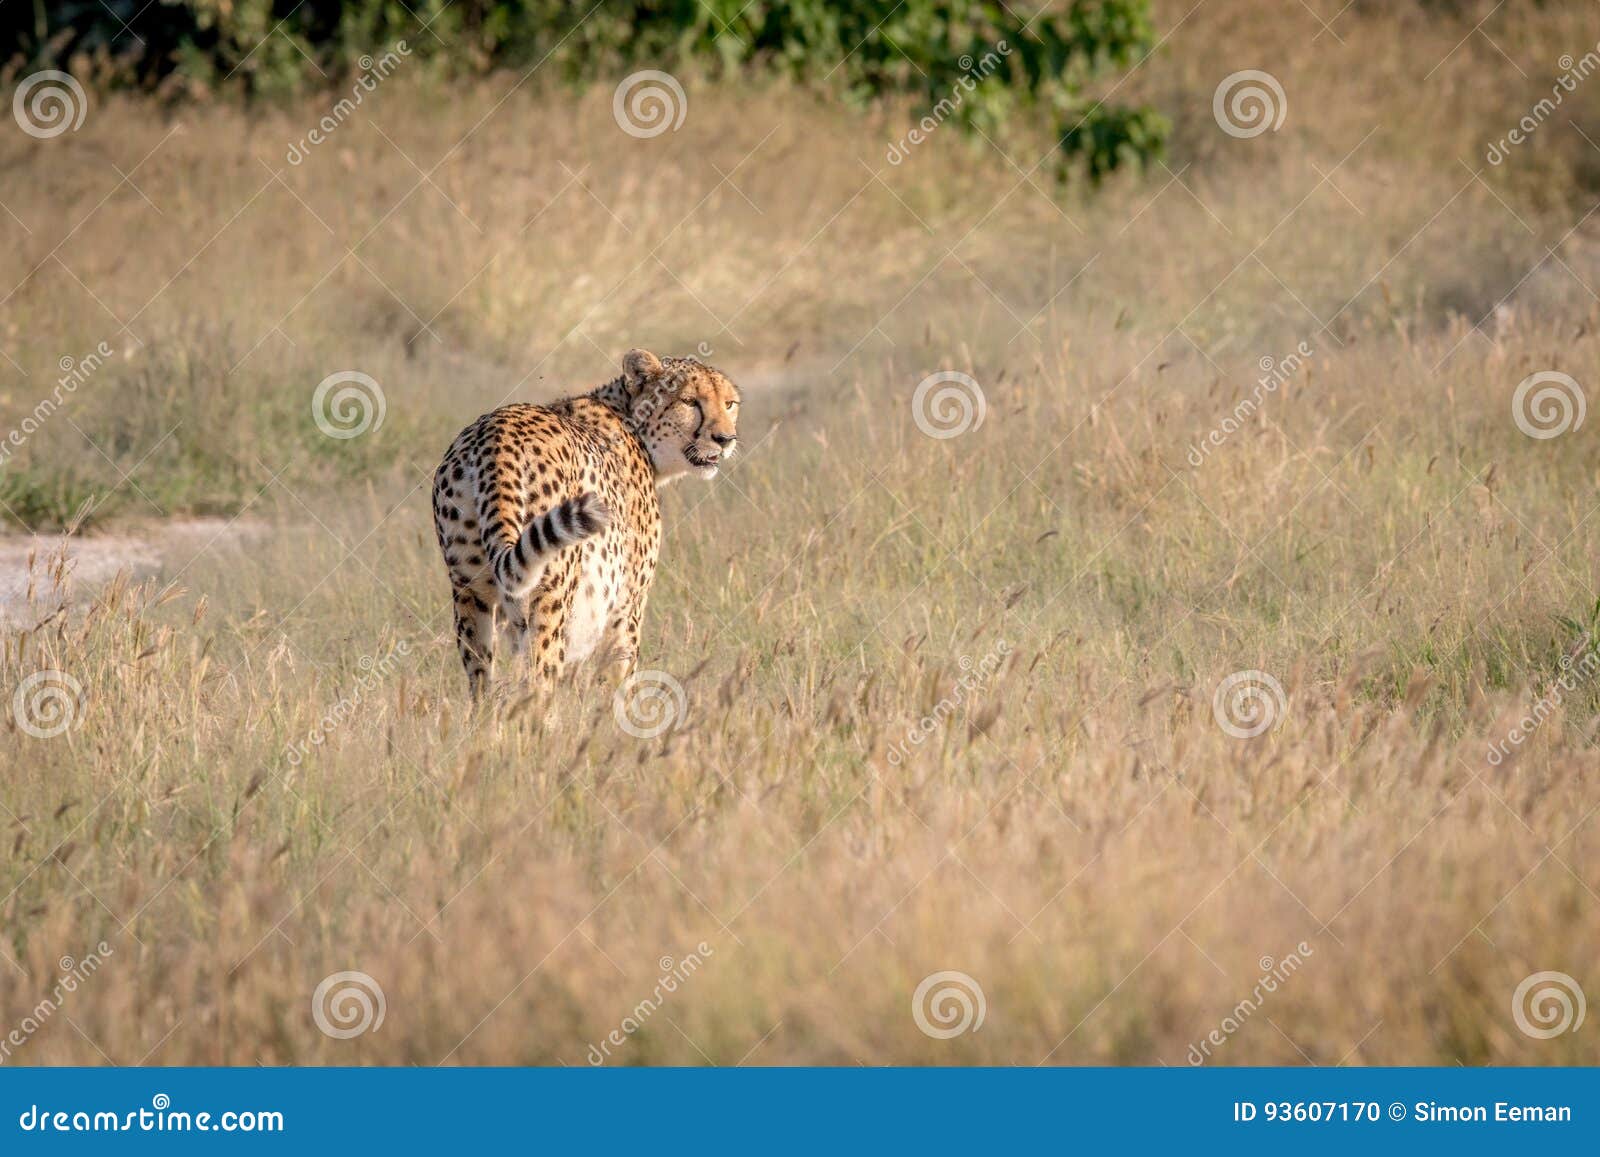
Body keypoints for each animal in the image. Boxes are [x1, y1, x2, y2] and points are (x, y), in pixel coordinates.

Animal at [431, 348, 741, 702]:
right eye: (689, 401)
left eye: (730, 403)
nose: (725, 439)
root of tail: (497, 433)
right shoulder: (625, 607)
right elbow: (619, 678)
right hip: (551, 594)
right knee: (540, 684)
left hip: (471, 589)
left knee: (481, 683)